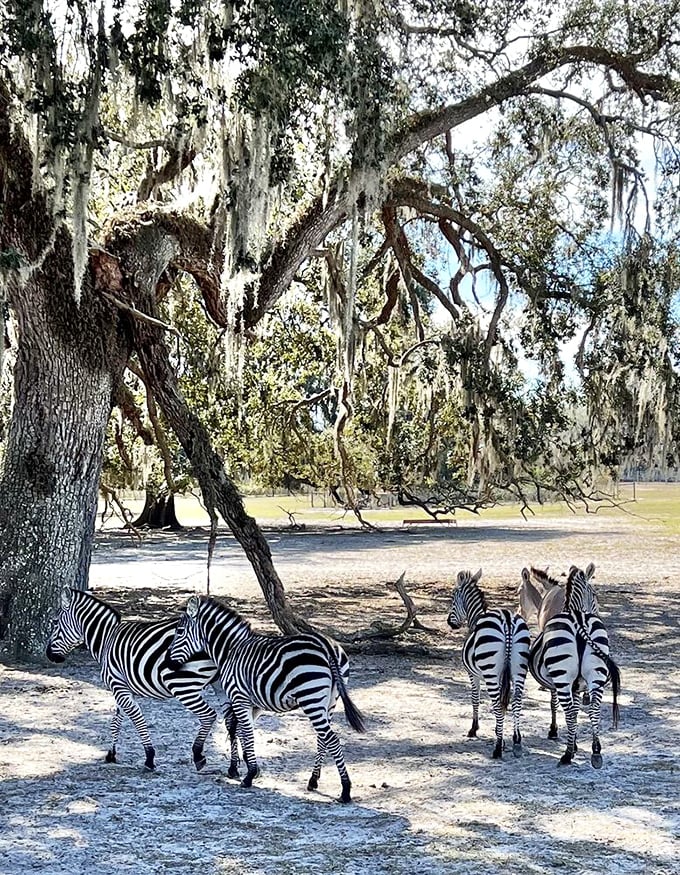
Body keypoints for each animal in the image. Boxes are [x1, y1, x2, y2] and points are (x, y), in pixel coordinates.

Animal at [46, 586, 238, 772]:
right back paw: (233, 768)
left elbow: (136, 718)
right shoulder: (122, 687)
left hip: (182, 685)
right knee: (232, 720)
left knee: (209, 715)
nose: (49, 655)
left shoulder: (117, 685)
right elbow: (116, 721)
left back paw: (198, 756)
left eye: (55, 622)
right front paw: (111, 754)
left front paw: (149, 757)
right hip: (219, 684)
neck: (106, 640)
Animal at [167, 595, 365, 803]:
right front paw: (246, 768)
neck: (230, 649)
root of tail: (325, 645)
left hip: (311, 697)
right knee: (322, 737)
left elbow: (244, 732)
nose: (168, 663)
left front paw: (248, 775)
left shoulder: (239, 697)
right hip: (330, 700)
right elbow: (242, 731)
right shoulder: (254, 703)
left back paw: (345, 790)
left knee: (331, 738)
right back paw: (313, 780)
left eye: (179, 632)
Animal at [447, 568, 531, 759]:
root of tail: (507, 619)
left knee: (497, 702)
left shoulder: (473, 675)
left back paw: (497, 748)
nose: (450, 623)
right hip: (519, 670)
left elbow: (475, 698)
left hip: (490, 672)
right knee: (516, 700)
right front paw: (501, 733)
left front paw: (474, 729)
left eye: (453, 598)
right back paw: (517, 740)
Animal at [529, 565, 620, 768]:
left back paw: (567, 755)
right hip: (596, 675)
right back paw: (596, 751)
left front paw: (560, 735)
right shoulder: (578, 686)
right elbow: (578, 709)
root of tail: (581, 623)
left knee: (569, 710)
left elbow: (559, 706)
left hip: (562, 676)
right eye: (595, 594)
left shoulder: (559, 684)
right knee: (594, 708)